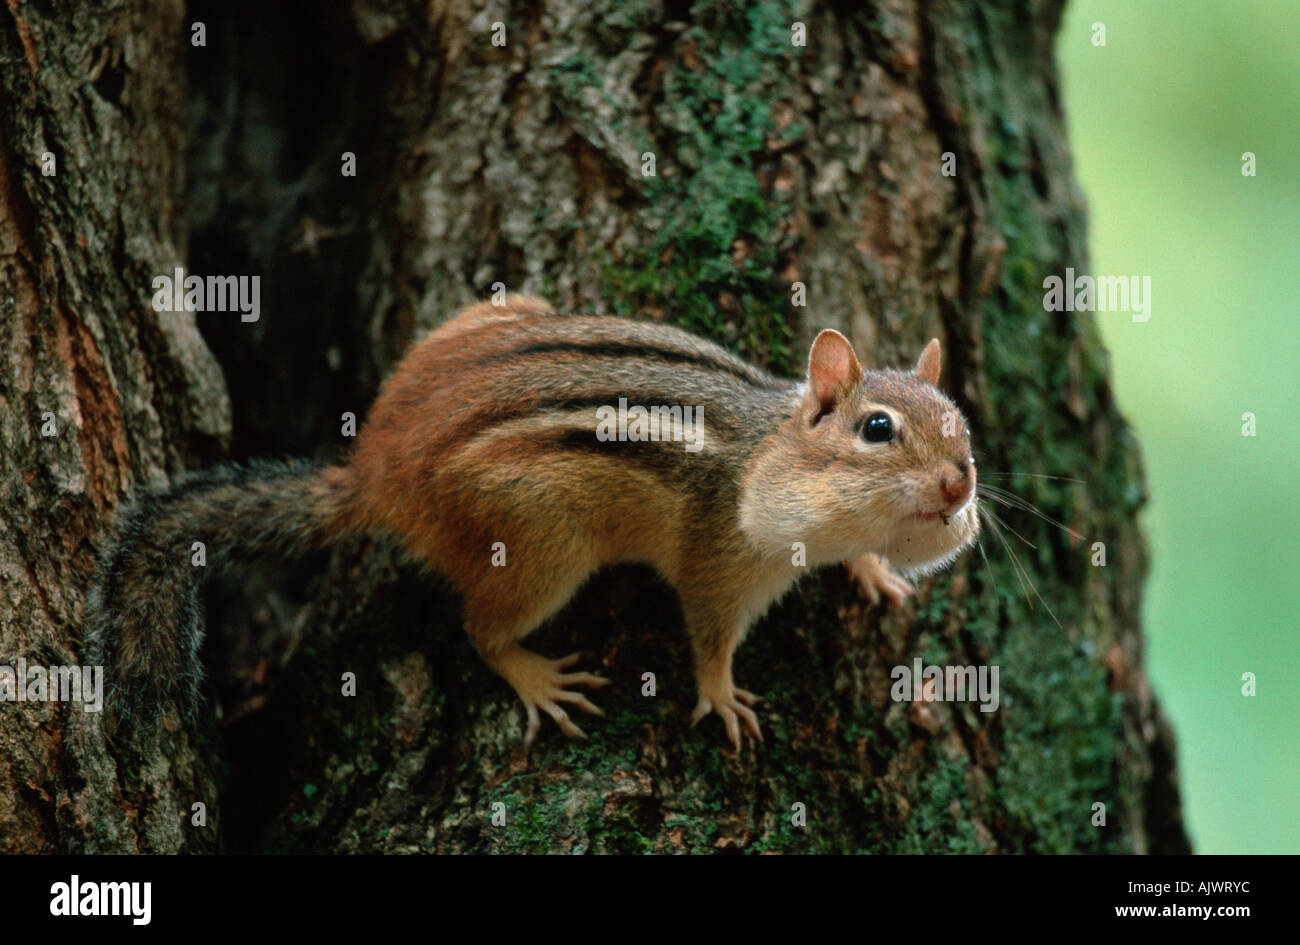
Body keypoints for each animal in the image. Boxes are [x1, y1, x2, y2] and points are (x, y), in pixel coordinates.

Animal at [84, 294, 979, 747]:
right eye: (876, 429)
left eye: (962, 424)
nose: (960, 482)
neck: (770, 451)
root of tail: (377, 467)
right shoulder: (720, 557)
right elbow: (709, 634)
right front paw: (722, 697)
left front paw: (875, 571)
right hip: (545, 545)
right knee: (480, 627)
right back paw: (537, 679)